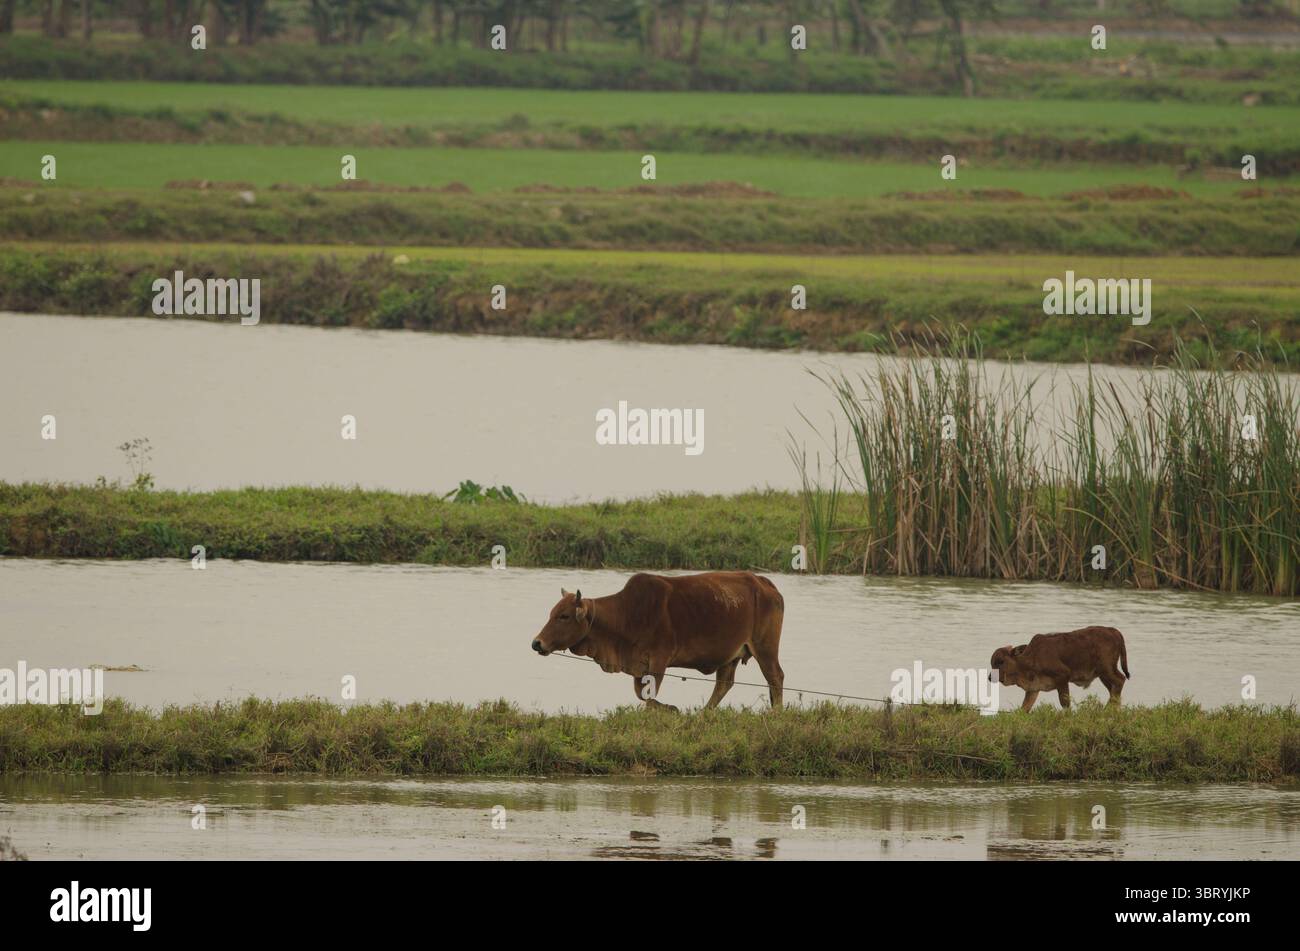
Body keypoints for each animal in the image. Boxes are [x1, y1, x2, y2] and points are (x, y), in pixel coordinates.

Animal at [530, 571, 785, 712]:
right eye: (552, 613)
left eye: (564, 616)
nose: (537, 643)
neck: (627, 613)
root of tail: (764, 582)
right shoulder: (639, 666)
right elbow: (640, 693)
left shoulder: (659, 659)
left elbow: (647, 694)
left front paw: (671, 709)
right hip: (730, 655)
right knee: (724, 684)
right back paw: (704, 713)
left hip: (765, 648)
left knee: (775, 677)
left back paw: (777, 713)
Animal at [988, 626, 1131, 711]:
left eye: (1000, 661)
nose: (990, 677)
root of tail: (1113, 630)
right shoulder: (1033, 688)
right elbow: (1024, 708)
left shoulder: (1063, 677)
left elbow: (1065, 703)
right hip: (1103, 674)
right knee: (1113, 689)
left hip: (1107, 669)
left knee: (1120, 680)